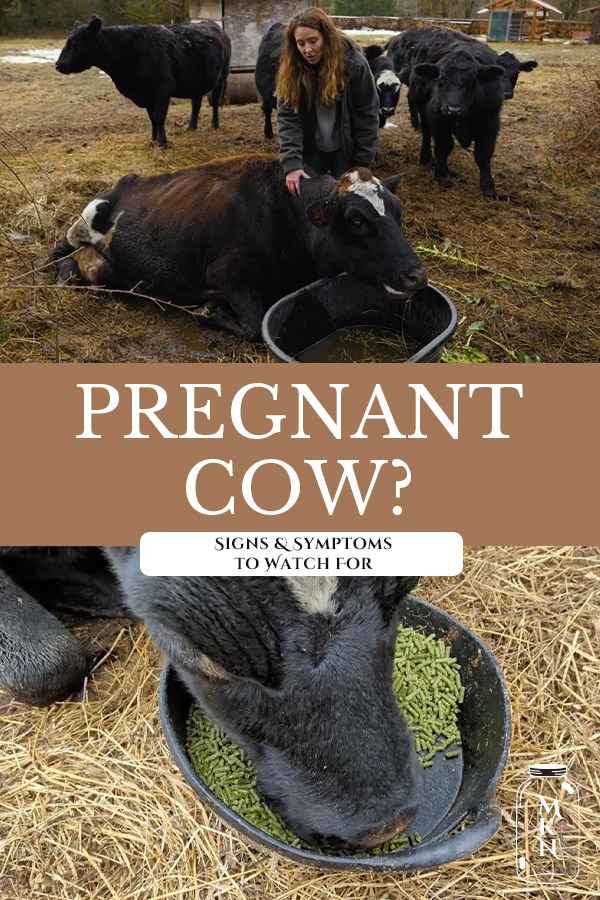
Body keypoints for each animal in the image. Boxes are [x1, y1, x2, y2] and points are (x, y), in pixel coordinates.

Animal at [52, 154, 428, 342]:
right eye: (357, 221)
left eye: (398, 211)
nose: (417, 274)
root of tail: (126, 181)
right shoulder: (228, 275)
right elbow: (255, 328)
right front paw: (209, 310)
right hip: (85, 219)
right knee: (60, 252)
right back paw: (65, 275)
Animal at [55, 16, 231, 148]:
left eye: (75, 42)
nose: (58, 64)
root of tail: (214, 25)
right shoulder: (146, 94)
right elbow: (151, 117)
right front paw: (153, 139)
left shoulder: (162, 89)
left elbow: (159, 116)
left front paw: (162, 142)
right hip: (196, 81)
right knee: (196, 104)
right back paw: (191, 127)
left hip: (221, 78)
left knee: (215, 103)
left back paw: (215, 126)